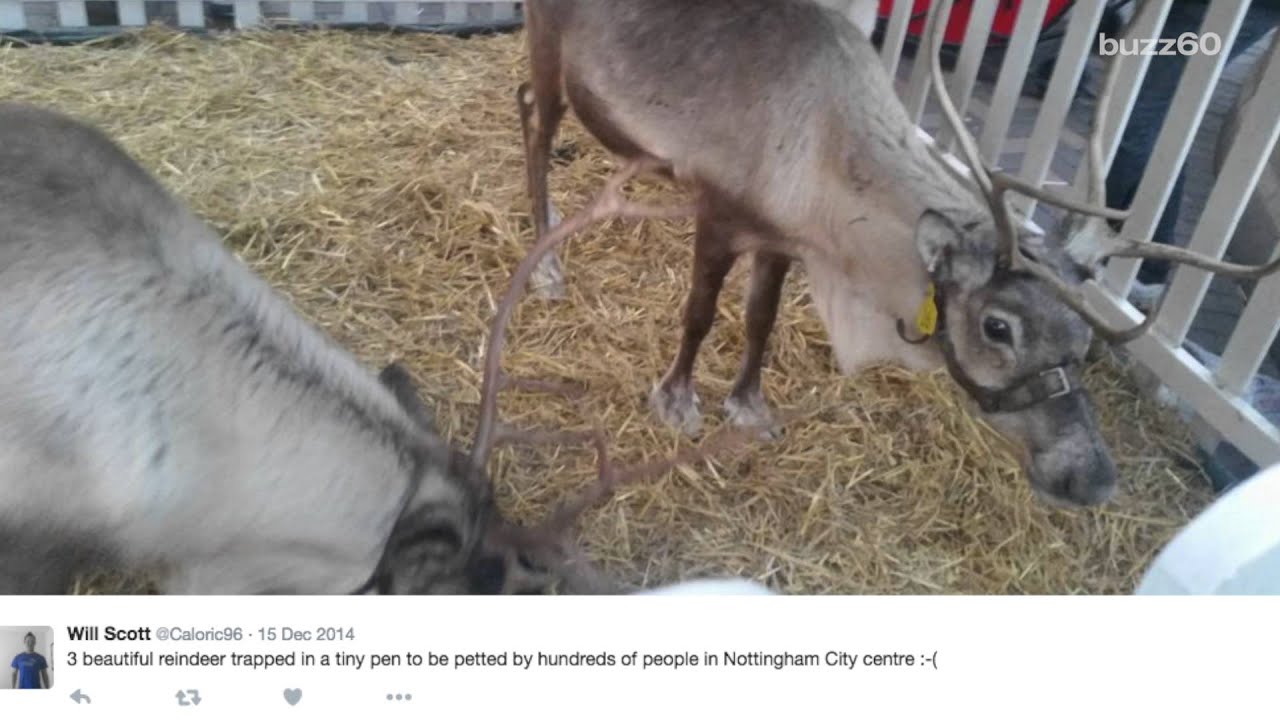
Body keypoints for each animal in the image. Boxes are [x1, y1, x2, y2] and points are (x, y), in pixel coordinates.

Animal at [514, 0, 1280, 508]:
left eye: (1084, 341)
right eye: (998, 326)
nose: (1089, 477)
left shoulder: (782, 240)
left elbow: (760, 321)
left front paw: (750, 407)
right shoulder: (720, 213)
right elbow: (699, 316)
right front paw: (676, 402)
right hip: (547, 41)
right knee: (534, 119)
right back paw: (546, 262)